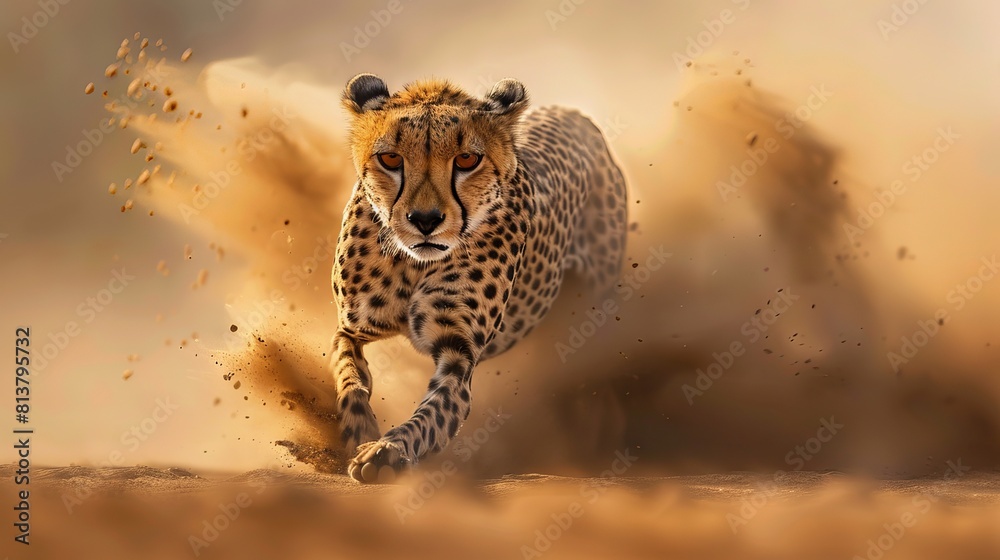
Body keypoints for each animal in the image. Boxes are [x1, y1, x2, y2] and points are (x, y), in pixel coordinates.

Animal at [331, 73, 628, 483]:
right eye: (390, 158)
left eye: (467, 160)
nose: (425, 220)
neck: (413, 265)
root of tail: (576, 114)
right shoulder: (350, 328)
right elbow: (350, 378)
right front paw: (361, 429)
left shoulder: (459, 355)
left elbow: (429, 416)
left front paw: (388, 450)